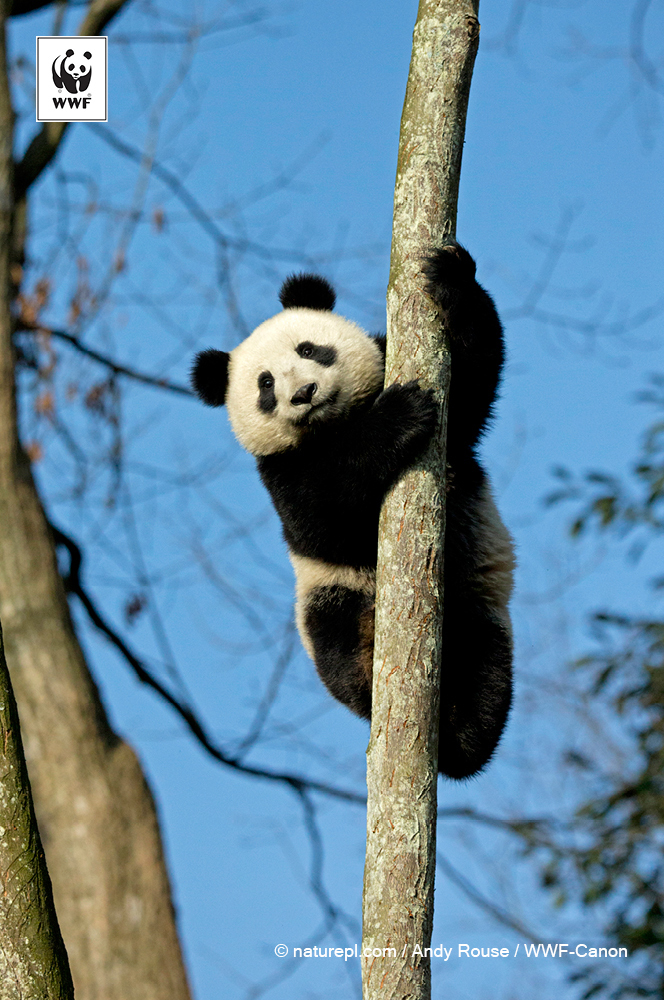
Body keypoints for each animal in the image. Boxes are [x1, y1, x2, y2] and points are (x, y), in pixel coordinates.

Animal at [192, 241, 515, 779]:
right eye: (264, 384)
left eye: (309, 349)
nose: (303, 394)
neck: (337, 424)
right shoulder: (281, 470)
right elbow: (323, 518)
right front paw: (397, 418)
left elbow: (471, 386)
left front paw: (452, 276)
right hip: (330, 595)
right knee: (339, 645)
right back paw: (374, 670)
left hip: (478, 605)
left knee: (485, 677)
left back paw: (461, 737)